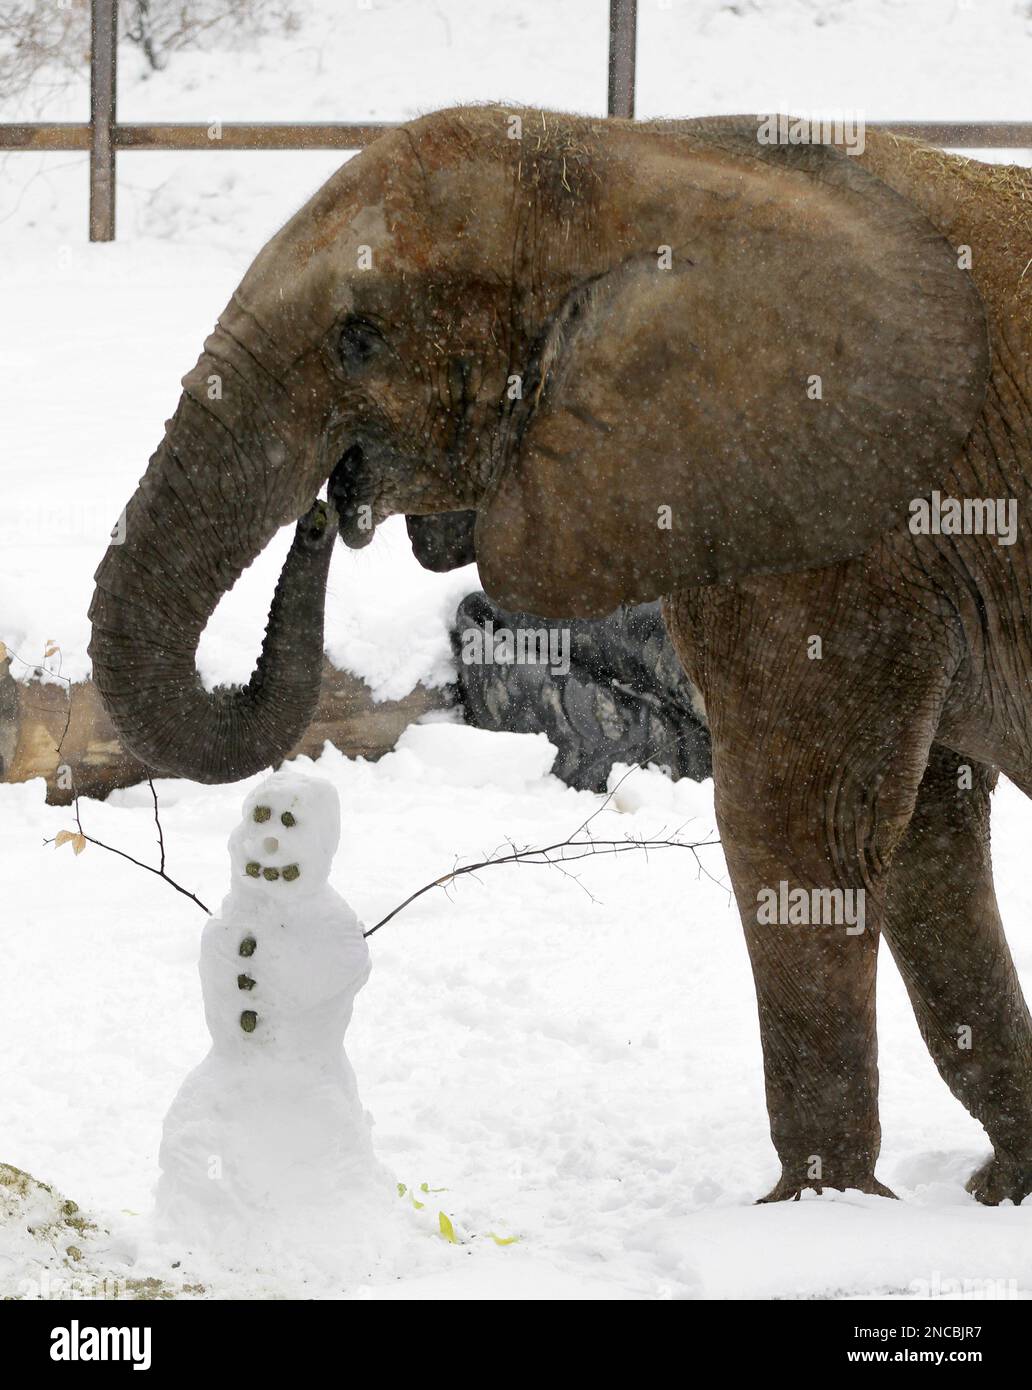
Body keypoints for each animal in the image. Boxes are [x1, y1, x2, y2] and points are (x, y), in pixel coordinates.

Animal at [89, 106, 1032, 1204]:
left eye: (360, 339)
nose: (326, 512)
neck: (632, 158)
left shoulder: (833, 513)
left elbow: (799, 827)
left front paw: (814, 1213)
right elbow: (929, 839)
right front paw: (997, 1192)